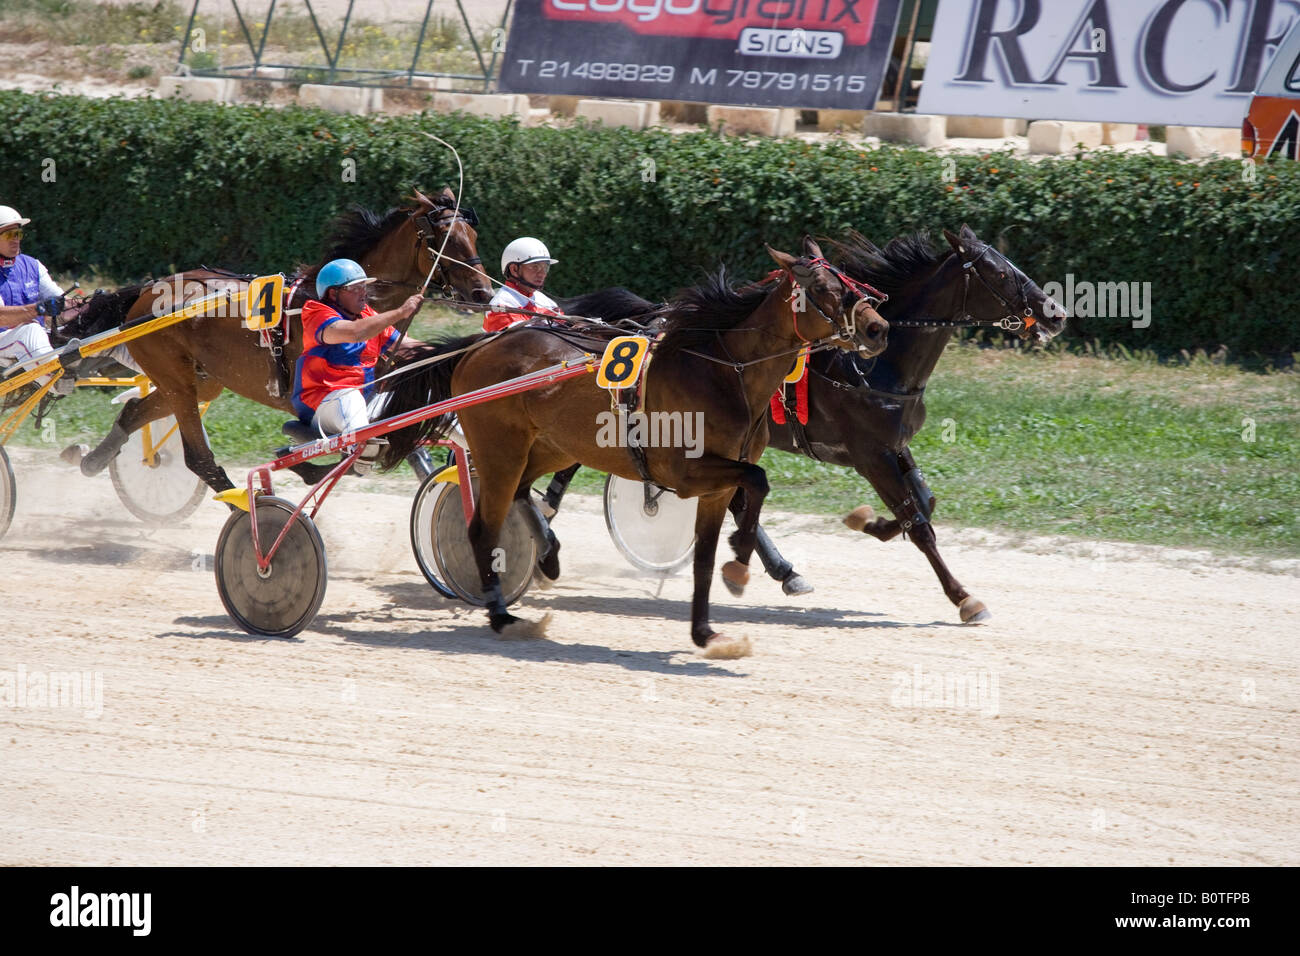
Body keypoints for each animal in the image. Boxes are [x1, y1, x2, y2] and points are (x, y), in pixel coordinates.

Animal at [64, 187, 492, 494]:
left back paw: (91, 459)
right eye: (447, 238)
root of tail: (147, 291)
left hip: (202, 381)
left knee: (134, 411)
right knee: (199, 459)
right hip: (176, 379)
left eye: (472, 234)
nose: (484, 292)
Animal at [378, 238, 889, 655]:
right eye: (822, 286)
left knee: (524, 494)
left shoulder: (719, 483)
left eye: (850, 279)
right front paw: (741, 564)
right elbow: (758, 482)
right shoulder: (689, 474)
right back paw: (502, 615)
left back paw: (547, 554)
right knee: (483, 528)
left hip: (551, 445)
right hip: (500, 448)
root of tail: (477, 348)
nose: (878, 328)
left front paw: (706, 628)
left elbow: (707, 555)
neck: (723, 373)